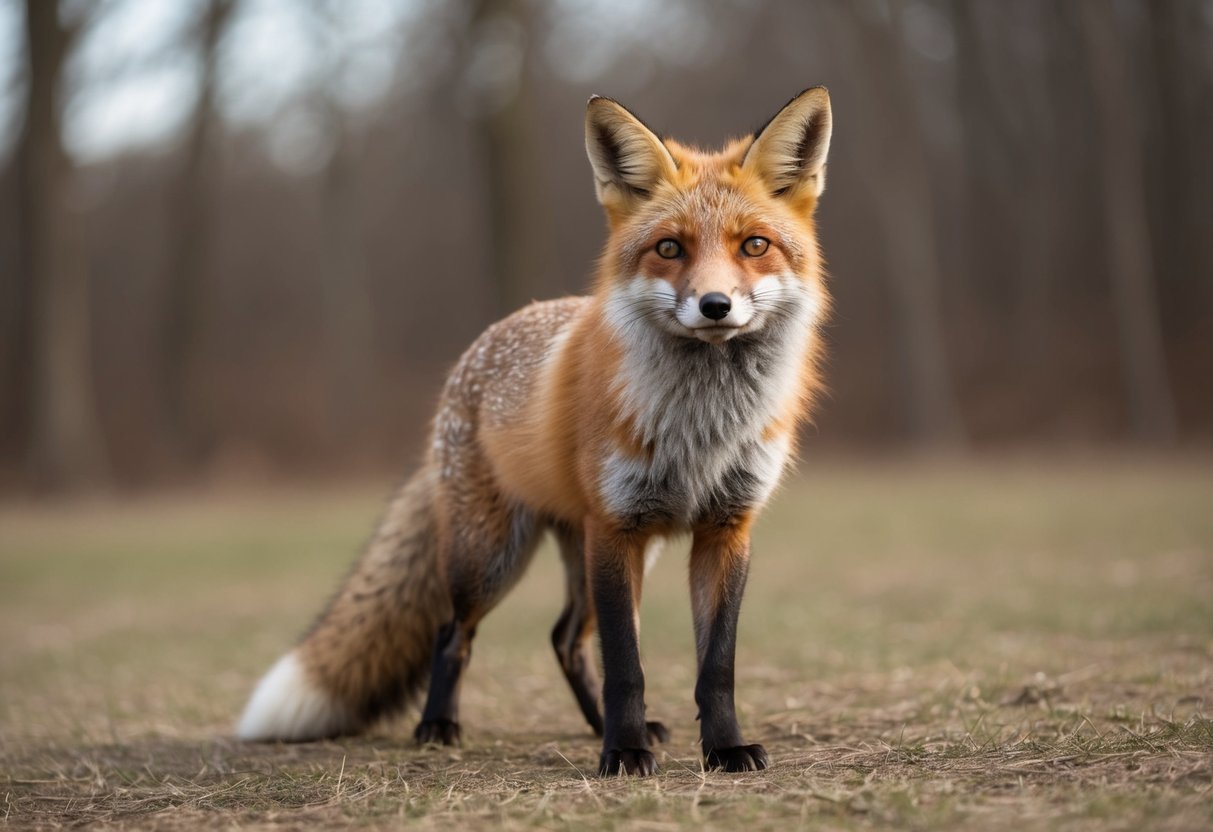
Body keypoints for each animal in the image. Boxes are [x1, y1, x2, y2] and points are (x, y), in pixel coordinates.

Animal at [237, 87, 834, 776]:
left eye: (754, 246)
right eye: (669, 249)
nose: (716, 306)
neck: (701, 426)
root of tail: (478, 349)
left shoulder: (725, 528)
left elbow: (716, 666)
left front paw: (724, 748)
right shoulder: (616, 527)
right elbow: (626, 664)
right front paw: (623, 753)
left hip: (602, 551)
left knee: (564, 638)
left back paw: (600, 725)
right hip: (492, 555)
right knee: (454, 631)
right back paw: (439, 724)